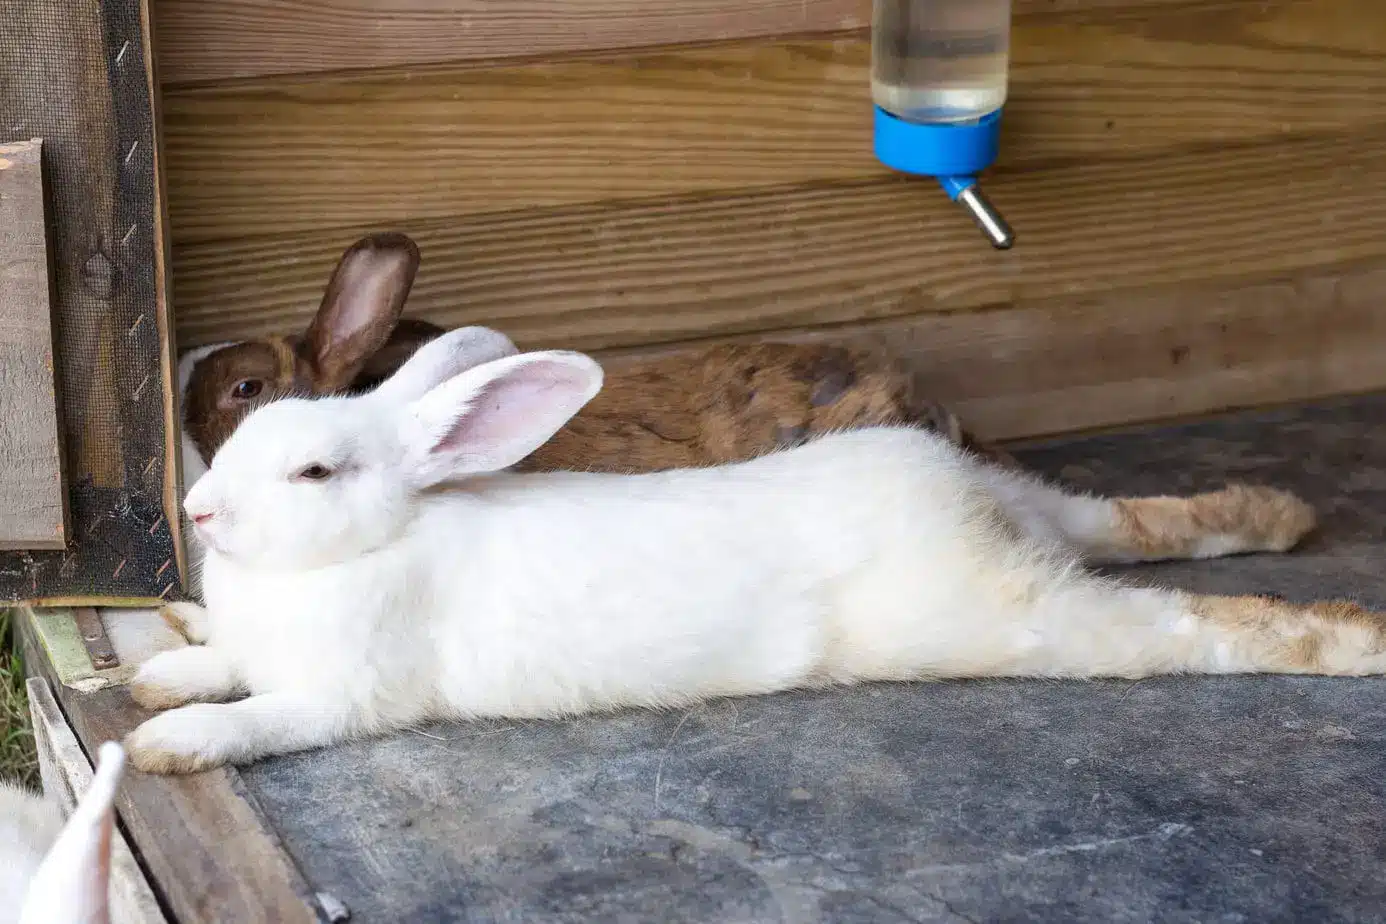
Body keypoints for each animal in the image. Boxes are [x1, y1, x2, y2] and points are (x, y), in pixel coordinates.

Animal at [122, 331, 1382, 775]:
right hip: (1039, 517)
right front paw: (161, 670)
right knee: (1133, 521)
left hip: (1013, 616)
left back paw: (1356, 640)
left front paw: (167, 745)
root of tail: (961, 501)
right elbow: (216, 662)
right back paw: (1278, 511)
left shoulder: (342, 695)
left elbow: (259, 718)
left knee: (1200, 624)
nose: (199, 513)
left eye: (312, 473)